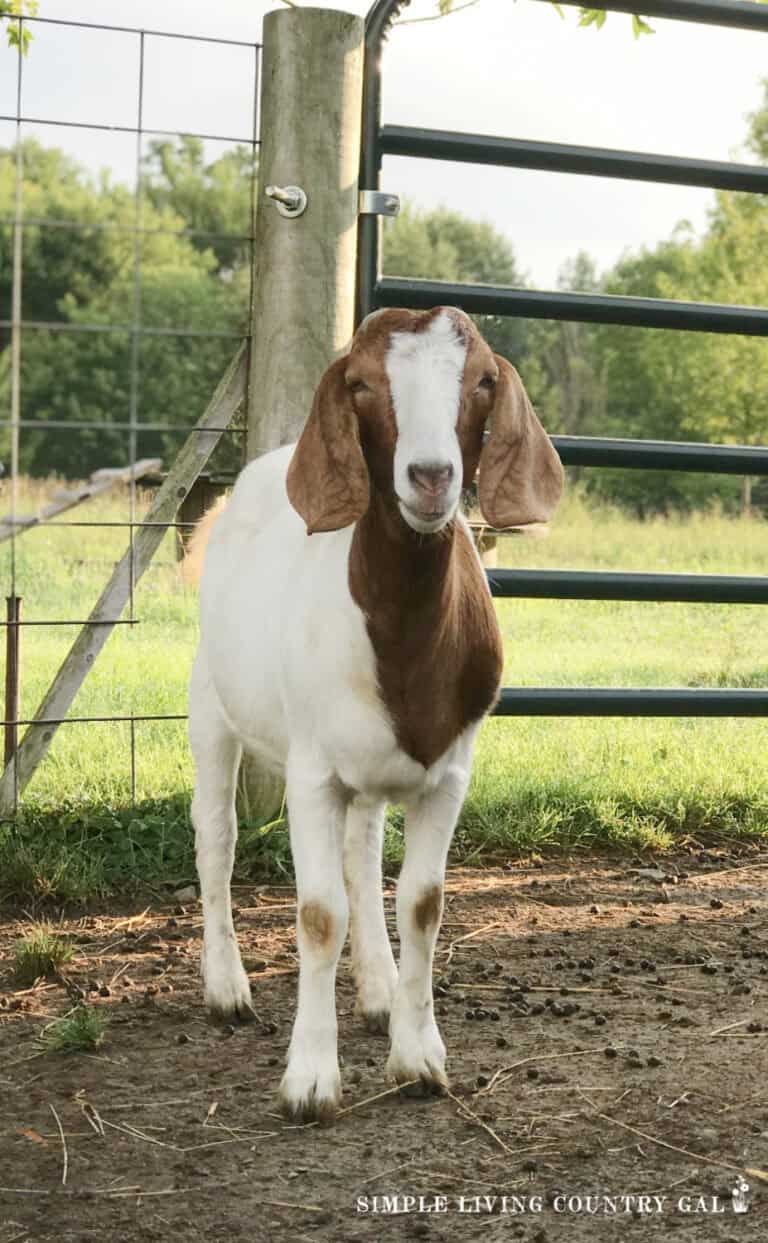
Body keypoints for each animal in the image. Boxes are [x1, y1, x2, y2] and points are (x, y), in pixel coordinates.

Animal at [187, 306, 563, 1123]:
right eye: (360, 384)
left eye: (482, 381)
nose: (431, 476)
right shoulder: (310, 774)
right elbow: (317, 913)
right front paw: (309, 1080)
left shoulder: (448, 773)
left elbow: (421, 902)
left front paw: (418, 1056)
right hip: (212, 709)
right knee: (217, 839)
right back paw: (226, 987)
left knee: (361, 853)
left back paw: (380, 988)